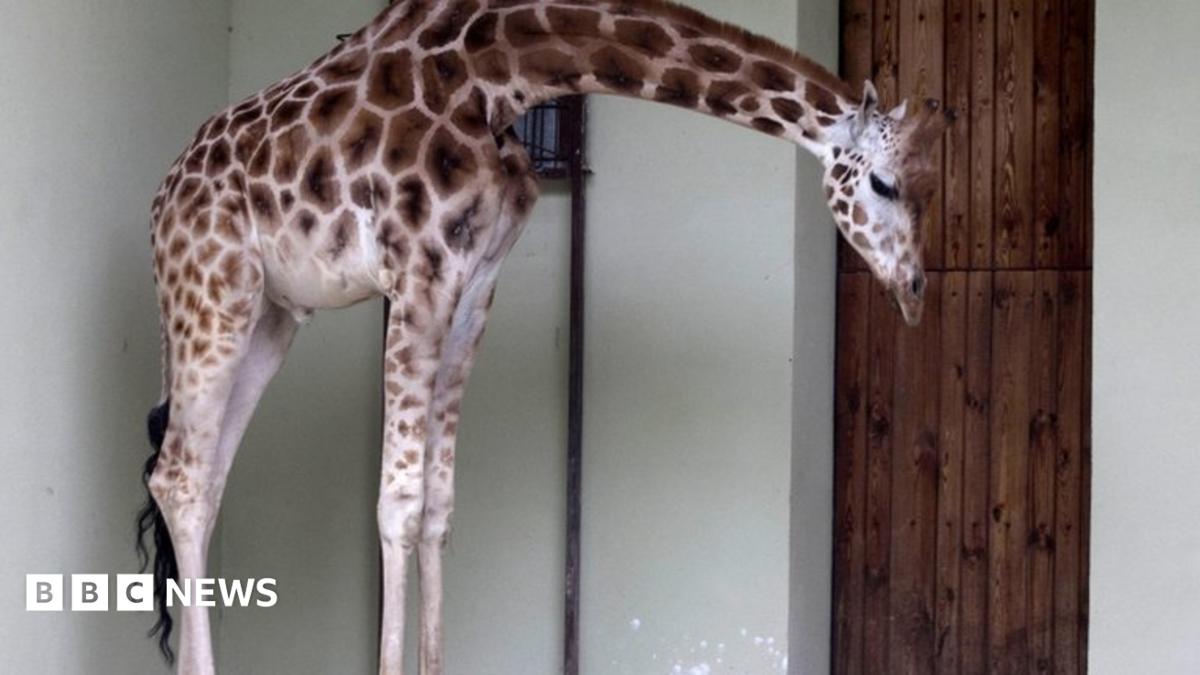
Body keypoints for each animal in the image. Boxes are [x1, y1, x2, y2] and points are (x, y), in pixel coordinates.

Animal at [136, 0, 953, 673]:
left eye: (928, 188)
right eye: (882, 184)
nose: (915, 294)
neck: (501, 77)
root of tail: (162, 198)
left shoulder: (472, 289)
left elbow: (437, 505)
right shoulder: (417, 274)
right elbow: (397, 502)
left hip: (270, 316)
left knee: (203, 479)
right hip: (211, 293)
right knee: (176, 477)